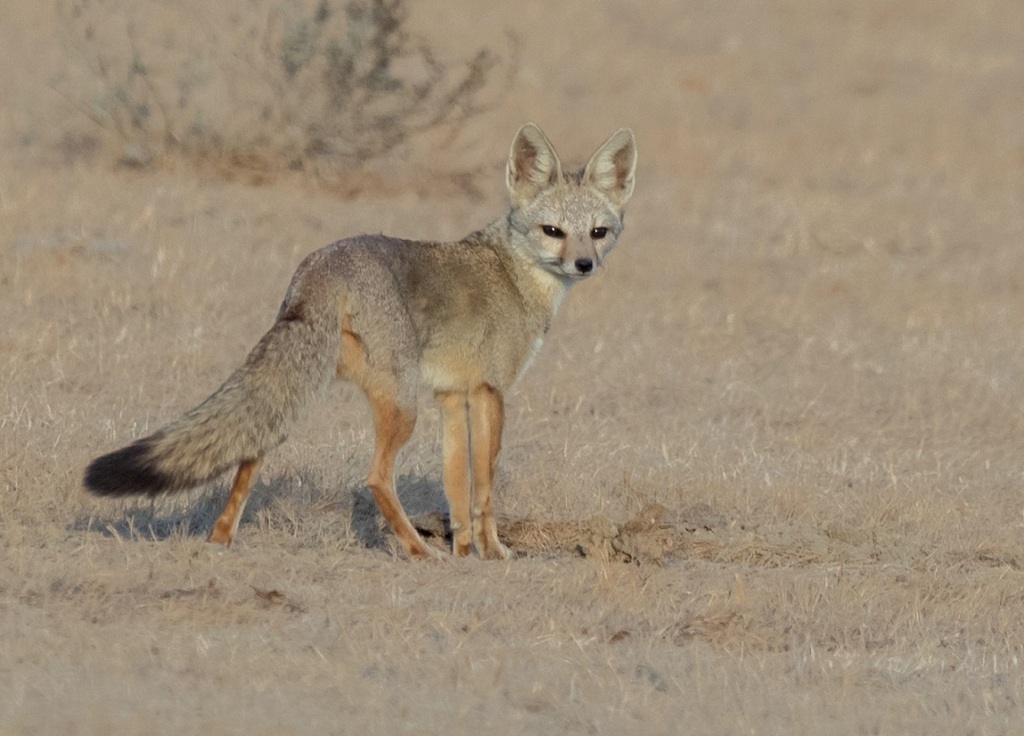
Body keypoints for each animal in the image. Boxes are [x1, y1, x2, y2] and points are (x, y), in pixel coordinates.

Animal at [84, 123, 637, 559]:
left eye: (598, 232)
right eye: (552, 231)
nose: (583, 264)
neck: (513, 274)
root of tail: (322, 263)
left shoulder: (450, 395)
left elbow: (456, 486)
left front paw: (464, 553)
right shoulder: (489, 392)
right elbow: (483, 486)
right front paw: (493, 553)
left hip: (303, 395)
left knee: (247, 454)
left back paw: (221, 540)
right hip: (400, 405)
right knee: (374, 478)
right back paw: (417, 552)